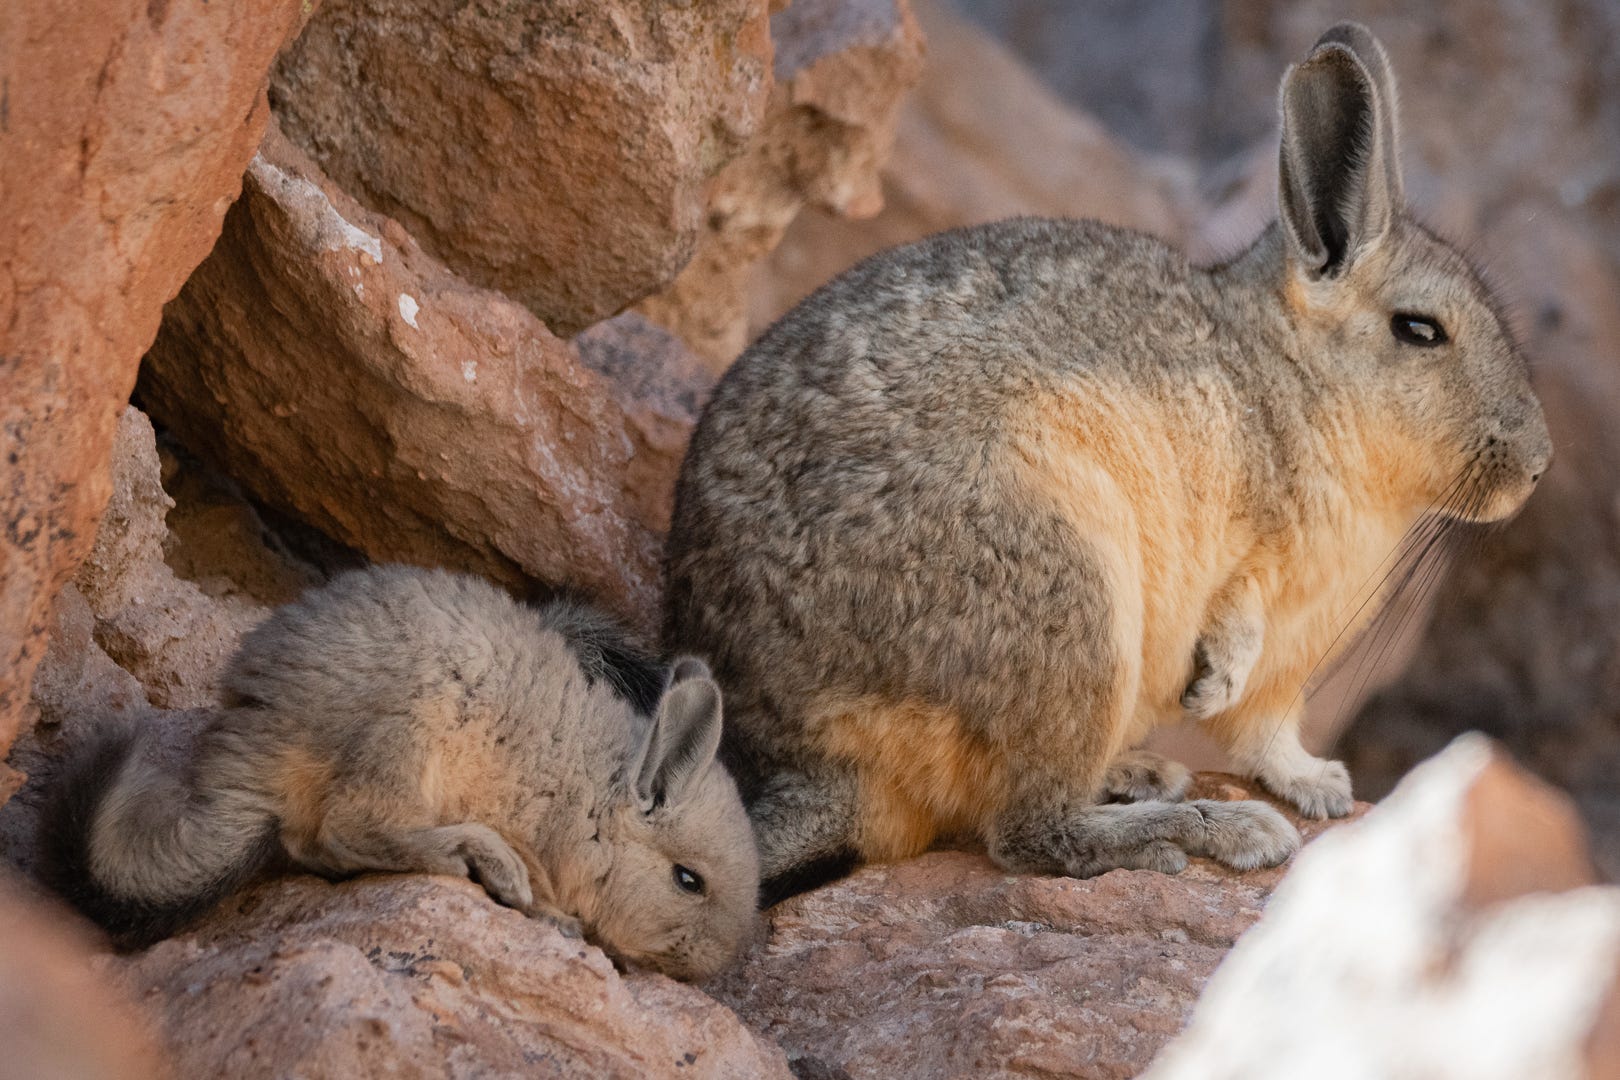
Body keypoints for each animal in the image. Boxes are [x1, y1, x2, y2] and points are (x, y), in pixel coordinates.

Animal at [38, 564, 760, 981]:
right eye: (689, 881)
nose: (711, 969)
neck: (593, 797)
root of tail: (254, 738)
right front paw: (554, 910)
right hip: (410, 727)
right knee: (346, 832)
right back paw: (485, 861)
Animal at [663, 23, 1552, 905]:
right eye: (1420, 329)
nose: (1539, 463)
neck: (1294, 381)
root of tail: (815, 768)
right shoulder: (1253, 557)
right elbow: (1237, 640)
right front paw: (1224, 702)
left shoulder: (1290, 678)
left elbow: (1268, 740)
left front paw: (1323, 786)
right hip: (1074, 600)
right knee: (1031, 832)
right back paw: (1218, 828)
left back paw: (1145, 773)